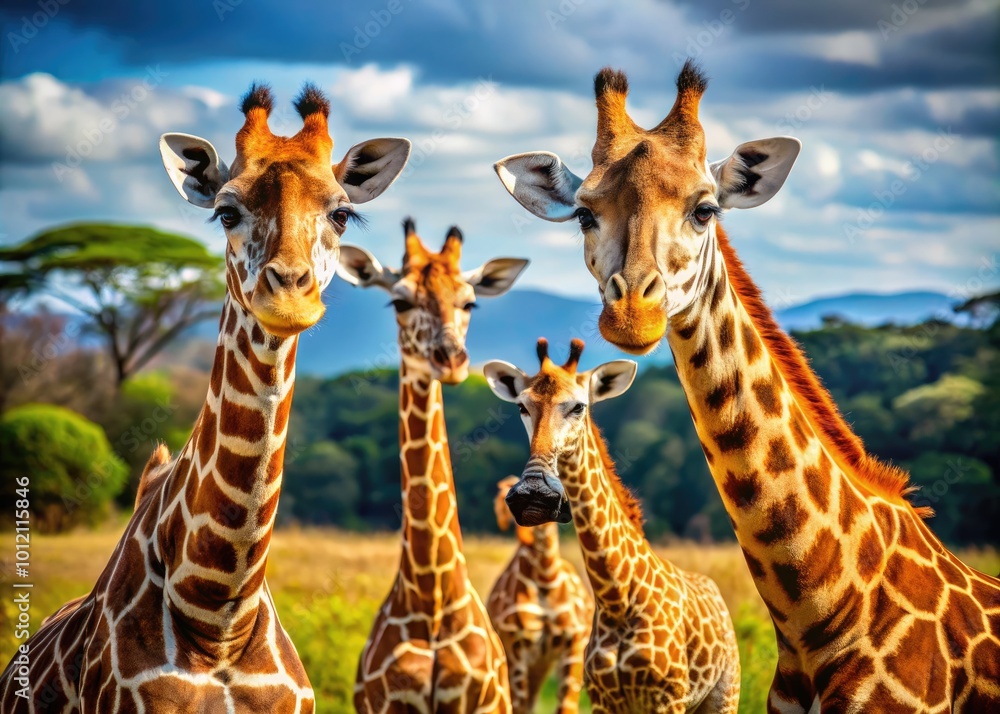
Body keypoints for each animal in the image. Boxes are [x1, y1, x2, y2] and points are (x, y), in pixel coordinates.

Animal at [337, 219, 528, 714]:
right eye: (399, 301)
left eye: (469, 301)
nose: (453, 361)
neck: (433, 597)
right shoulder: (388, 704)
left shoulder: (479, 701)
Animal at [486, 476, 594, 714]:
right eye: (506, 500)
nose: (525, 532)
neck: (546, 579)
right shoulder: (515, 644)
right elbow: (518, 704)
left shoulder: (574, 643)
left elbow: (566, 706)